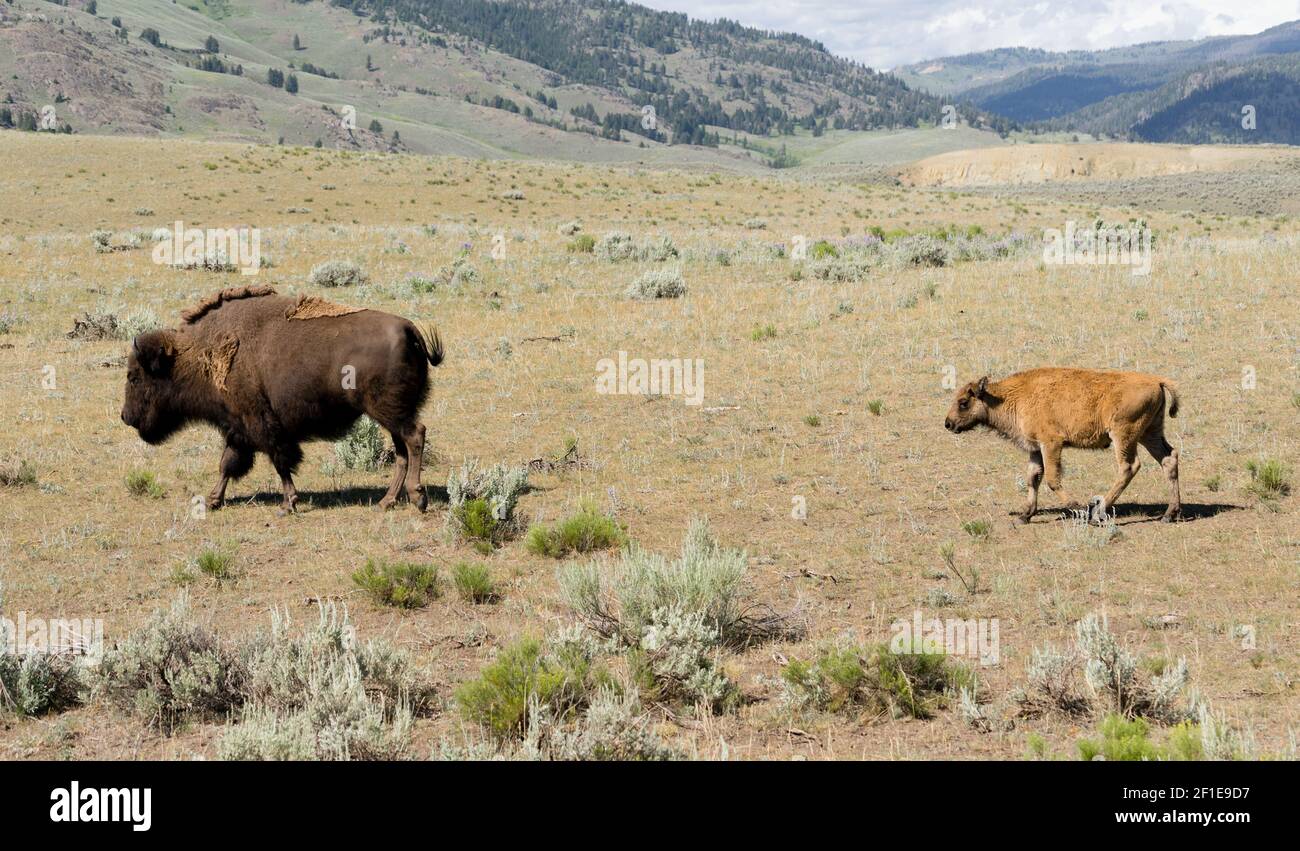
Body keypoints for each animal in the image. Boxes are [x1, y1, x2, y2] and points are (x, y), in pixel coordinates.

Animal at [121, 286, 442, 513]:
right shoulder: (238, 428)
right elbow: (228, 463)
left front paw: (288, 503)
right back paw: (386, 501)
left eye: (134, 377)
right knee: (402, 452)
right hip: (390, 416)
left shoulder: (261, 424)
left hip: (387, 411)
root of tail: (408, 329)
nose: (125, 416)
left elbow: (279, 461)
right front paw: (213, 500)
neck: (197, 354)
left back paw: (418, 497)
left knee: (415, 437)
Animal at [943, 368, 1181, 524]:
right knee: (1169, 459)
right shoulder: (1035, 448)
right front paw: (1024, 515)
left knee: (1129, 467)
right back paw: (1169, 514)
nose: (948, 423)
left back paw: (1097, 514)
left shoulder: (1051, 444)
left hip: (1123, 436)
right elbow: (1033, 478)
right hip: (1150, 434)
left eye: (964, 402)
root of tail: (1156, 381)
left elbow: (1051, 479)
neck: (1012, 396)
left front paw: (1079, 508)